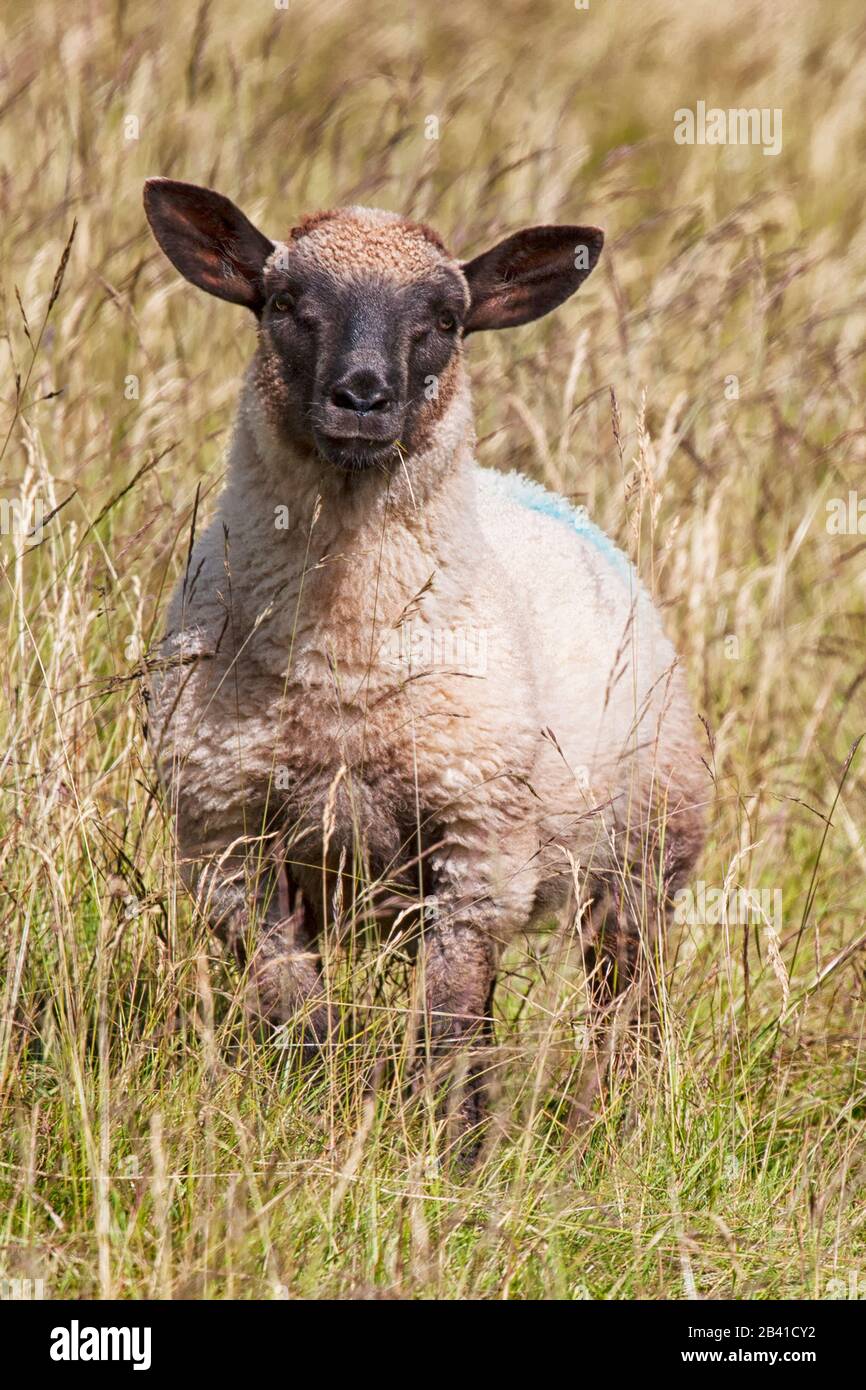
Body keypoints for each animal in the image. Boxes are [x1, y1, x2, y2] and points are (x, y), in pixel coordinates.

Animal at [143, 178, 707, 1154]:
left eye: (446, 320)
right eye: (283, 303)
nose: (362, 396)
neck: (343, 672)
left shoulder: (479, 844)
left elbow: (447, 1020)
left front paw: (452, 1150)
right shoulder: (229, 846)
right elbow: (295, 1007)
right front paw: (312, 1111)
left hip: (643, 852)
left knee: (621, 999)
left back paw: (608, 1122)